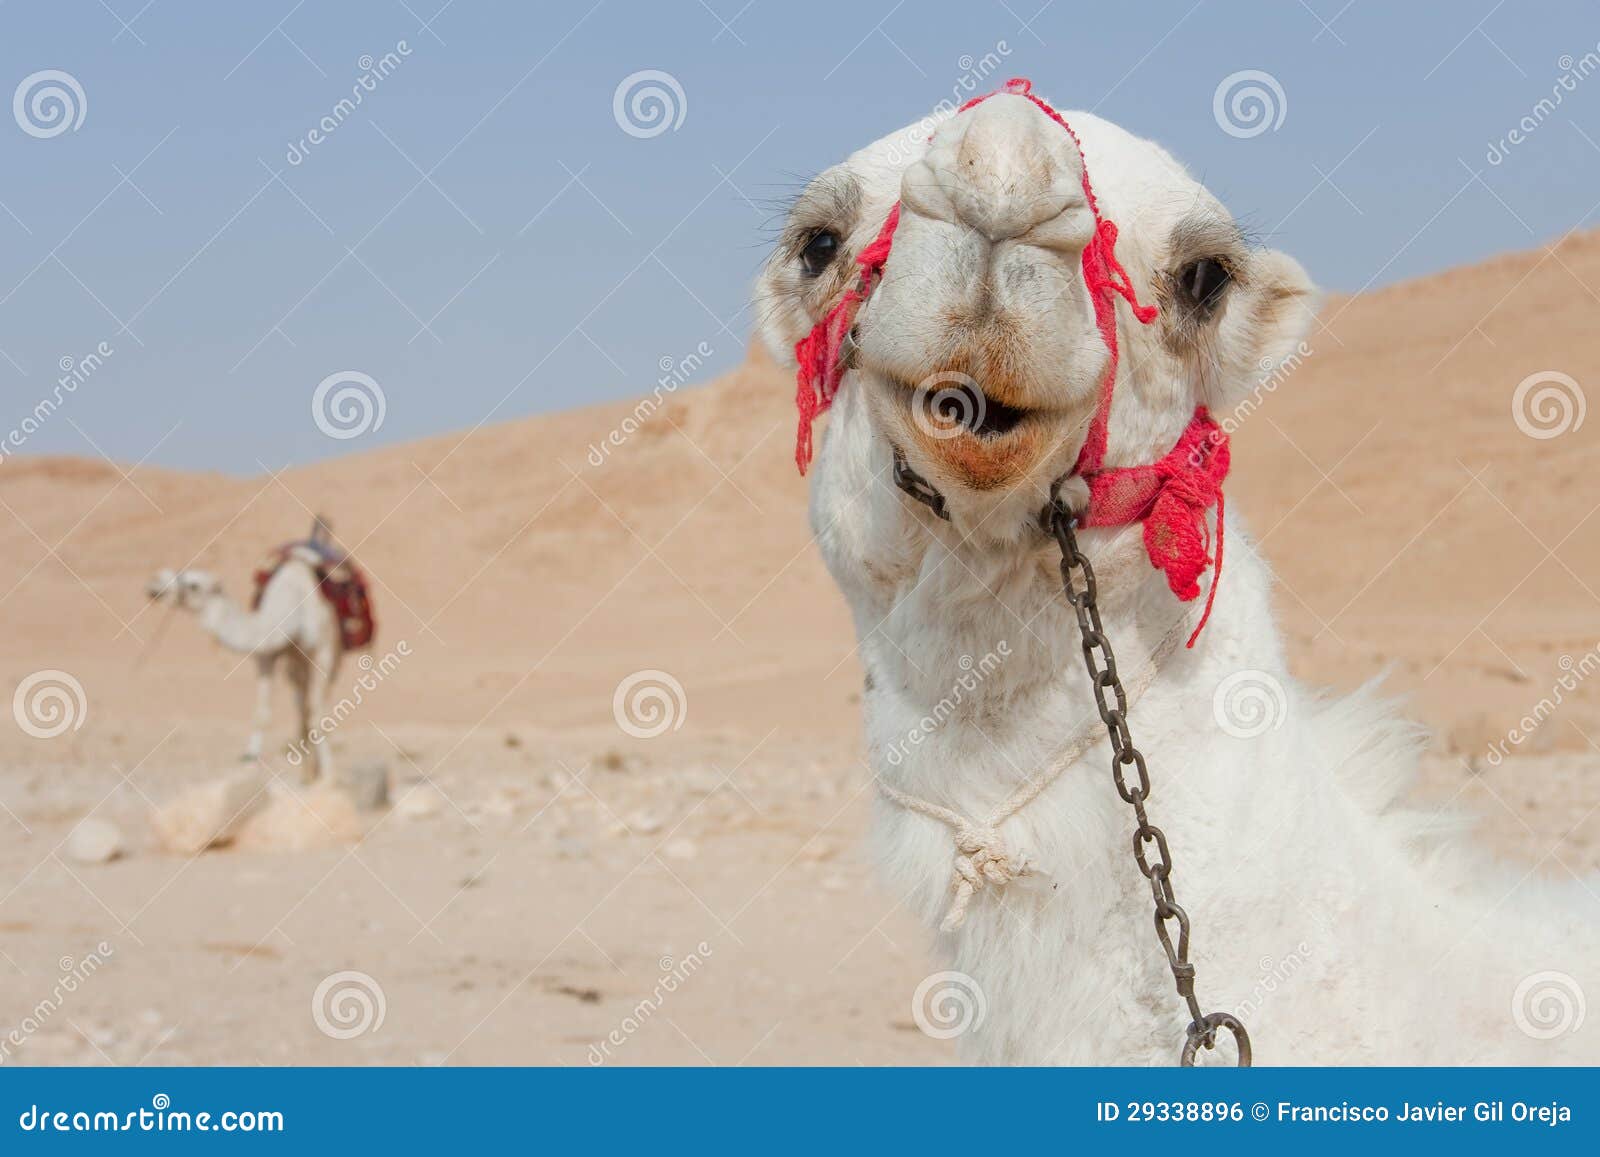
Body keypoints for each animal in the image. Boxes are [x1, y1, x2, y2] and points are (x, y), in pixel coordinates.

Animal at [145, 548, 342, 783]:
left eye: (194, 585)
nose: (155, 583)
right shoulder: (270, 654)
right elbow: (262, 714)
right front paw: (250, 757)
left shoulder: (323, 650)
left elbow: (319, 715)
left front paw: (330, 775)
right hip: (296, 663)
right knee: (301, 708)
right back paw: (307, 774)